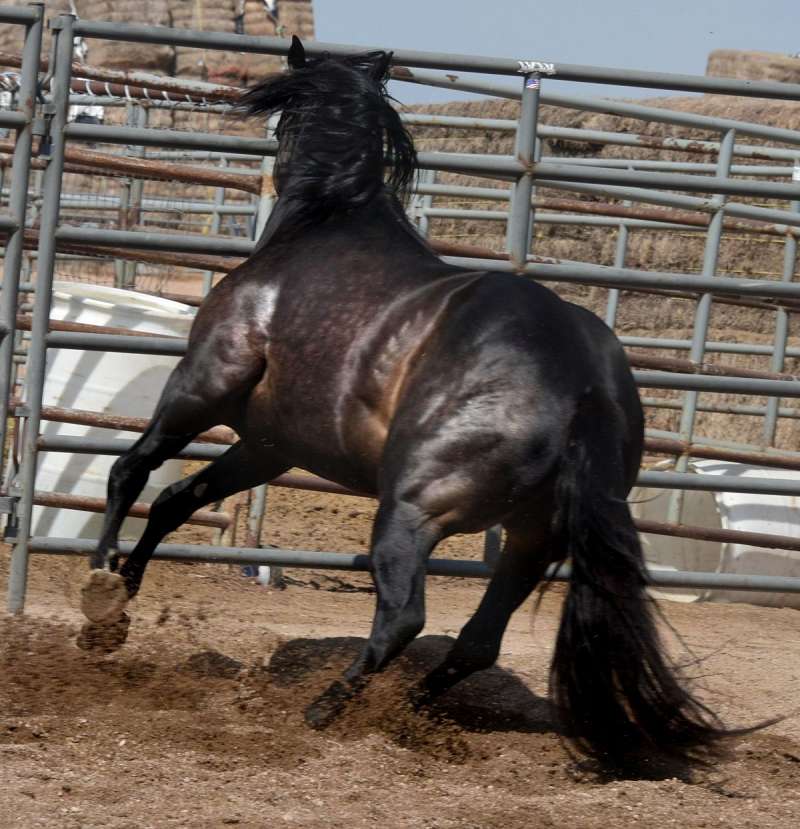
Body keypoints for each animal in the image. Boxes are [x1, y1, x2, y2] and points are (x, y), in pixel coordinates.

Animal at [79, 36, 732, 767]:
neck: (324, 223)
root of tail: (583, 383)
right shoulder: (270, 446)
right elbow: (176, 500)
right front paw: (115, 613)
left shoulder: (205, 382)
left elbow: (131, 470)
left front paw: (100, 591)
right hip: (534, 537)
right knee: (477, 640)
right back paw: (411, 709)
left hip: (411, 511)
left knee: (403, 617)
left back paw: (325, 708)